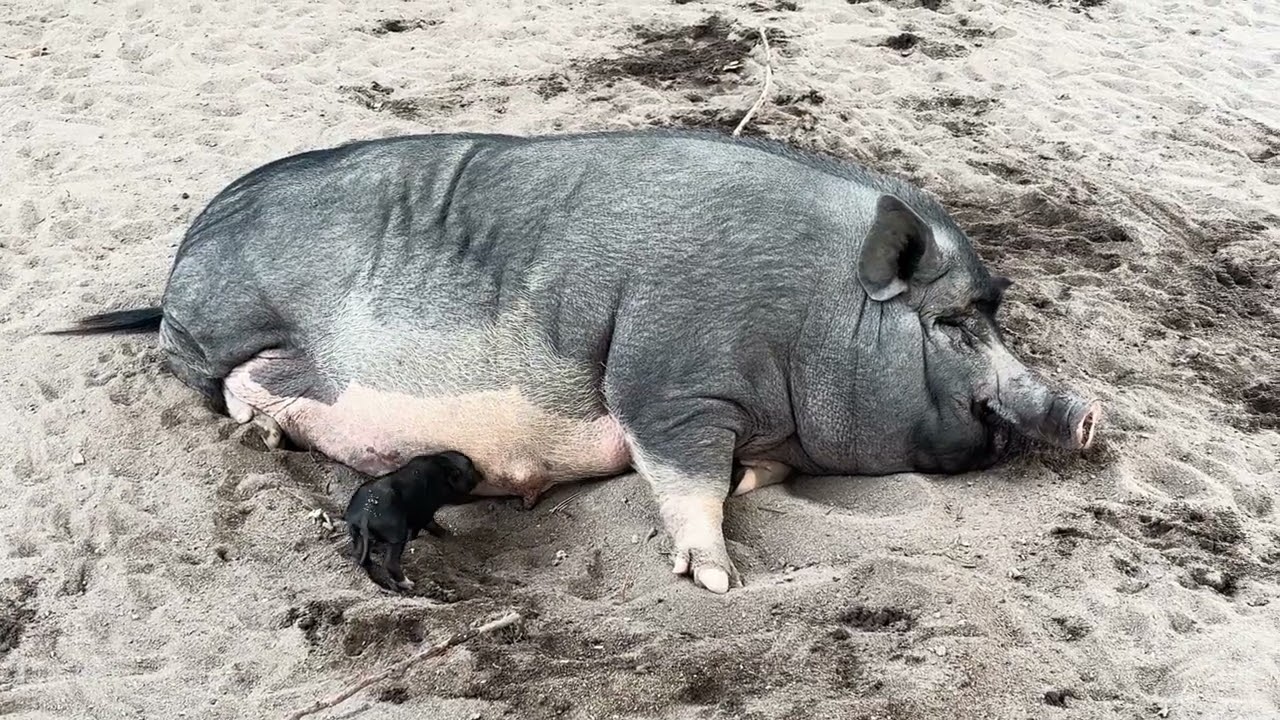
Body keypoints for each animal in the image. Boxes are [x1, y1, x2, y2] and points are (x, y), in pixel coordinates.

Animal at [345, 450, 480, 592]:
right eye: (471, 468)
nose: (481, 474)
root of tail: (365, 515)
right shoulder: (426, 512)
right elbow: (428, 525)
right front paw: (449, 535)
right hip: (396, 533)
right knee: (390, 562)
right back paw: (408, 584)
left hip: (356, 531)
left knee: (359, 553)